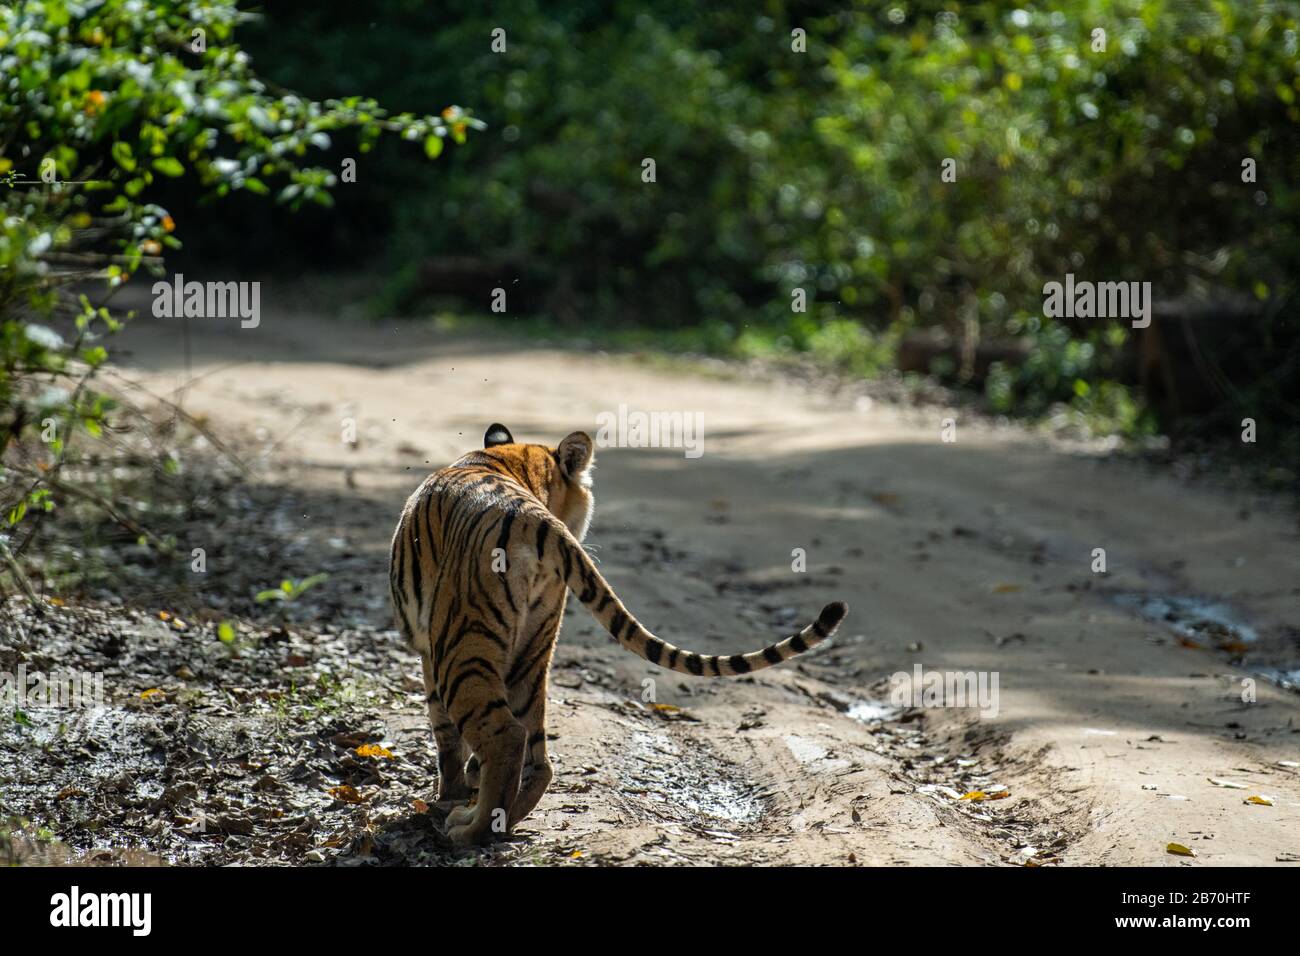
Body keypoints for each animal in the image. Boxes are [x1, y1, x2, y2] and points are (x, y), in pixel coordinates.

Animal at [389, 423, 848, 846]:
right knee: (536, 754)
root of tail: (533, 515)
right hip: (530, 649)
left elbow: (444, 732)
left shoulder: (430, 651)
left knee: (505, 737)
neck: (513, 464)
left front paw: (448, 794)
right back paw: (499, 820)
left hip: (463, 642)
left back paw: (471, 831)